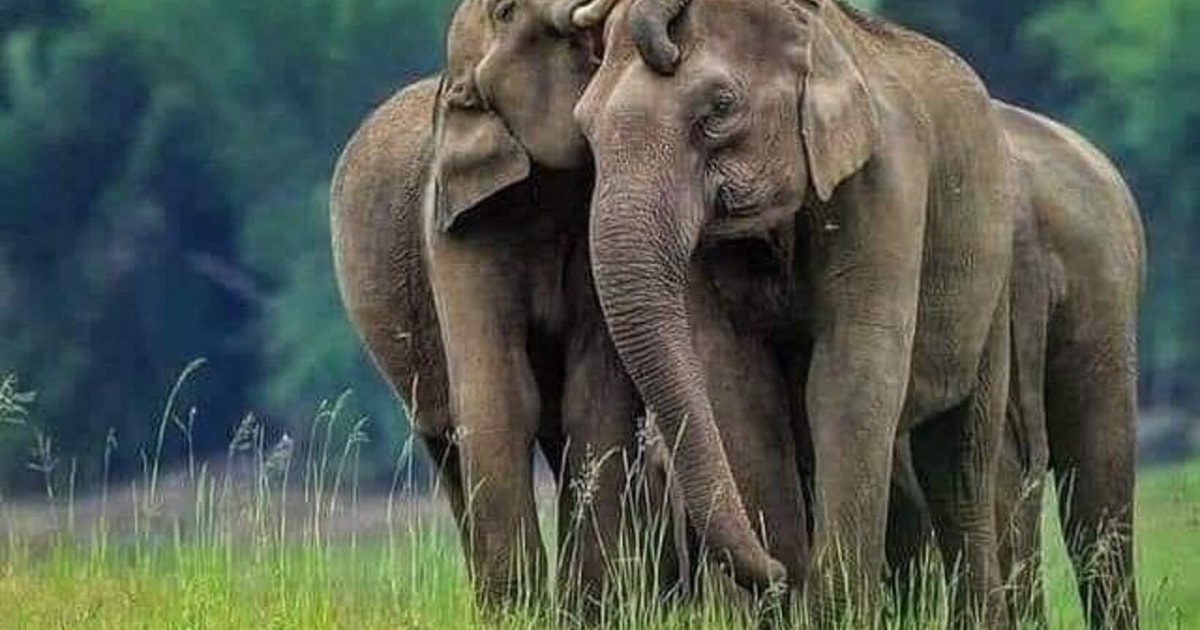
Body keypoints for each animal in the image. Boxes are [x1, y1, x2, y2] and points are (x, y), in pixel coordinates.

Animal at [573, 0, 1019, 624]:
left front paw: (834, 612)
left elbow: (851, 377)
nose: (777, 575)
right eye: (584, 128)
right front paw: (788, 601)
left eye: (720, 108)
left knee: (960, 464)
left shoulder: (885, 185)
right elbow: (737, 386)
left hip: (993, 278)